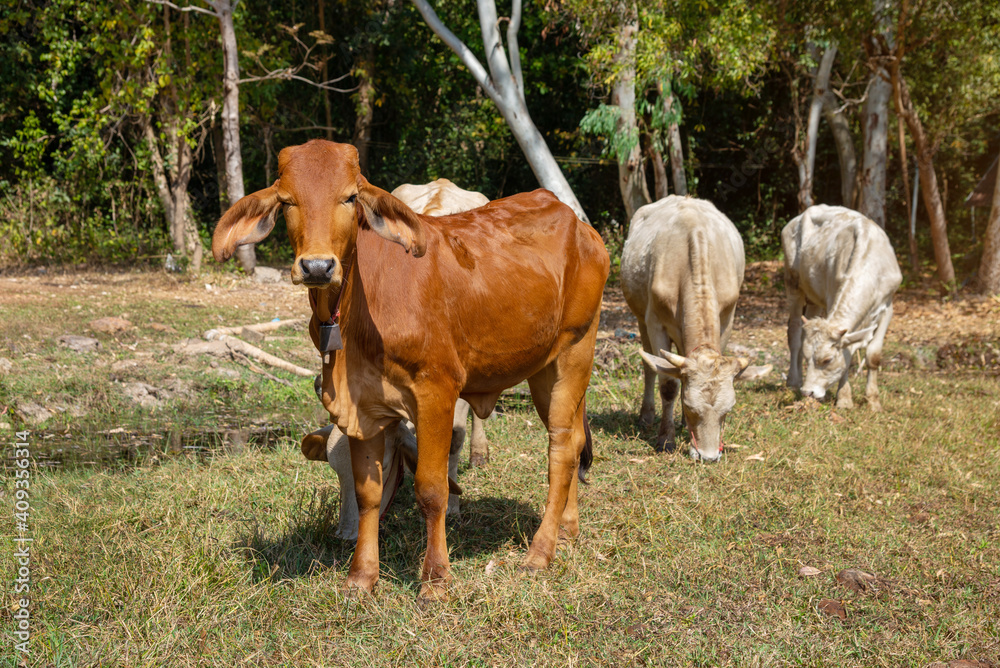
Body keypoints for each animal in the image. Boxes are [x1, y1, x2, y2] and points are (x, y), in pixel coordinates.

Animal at [212, 140, 609, 604]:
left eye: (350, 197)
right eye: (288, 201)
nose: (317, 267)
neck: (355, 315)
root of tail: (576, 222)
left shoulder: (436, 394)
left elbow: (432, 489)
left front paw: (435, 579)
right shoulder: (363, 408)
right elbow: (368, 493)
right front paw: (361, 577)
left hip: (574, 353)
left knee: (561, 448)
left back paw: (539, 553)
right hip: (544, 368)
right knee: (575, 440)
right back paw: (567, 531)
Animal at [621, 196, 771, 461]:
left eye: (728, 410)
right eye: (691, 406)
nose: (709, 456)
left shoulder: (727, 319)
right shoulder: (655, 323)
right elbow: (668, 385)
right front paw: (666, 439)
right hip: (640, 317)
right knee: (649, 367)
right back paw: (646, 416)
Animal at [782, 204, 901, 411]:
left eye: (827, 360)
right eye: (809, 358)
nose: (808, 392)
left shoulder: (887, 306)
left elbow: (874, 355)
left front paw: (873, 401)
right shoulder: (832, 295)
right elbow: (849, 353)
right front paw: (845, 399)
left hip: (813, 297)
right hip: (793, 283)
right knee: (795, 333)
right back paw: (794, 380)